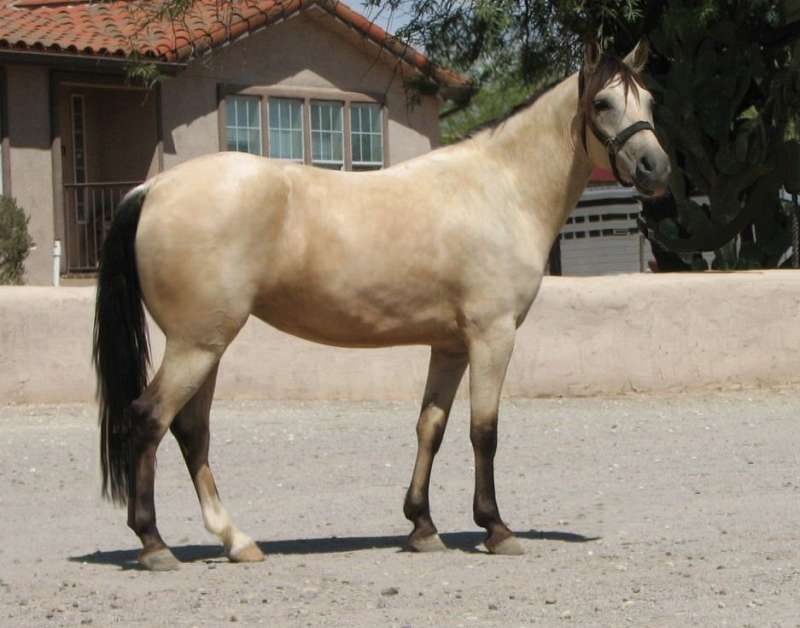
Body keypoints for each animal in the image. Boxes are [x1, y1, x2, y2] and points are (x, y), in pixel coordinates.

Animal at [93, 41, 670, 571]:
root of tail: (153, 187)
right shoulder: (493, 335)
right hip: (196, 345)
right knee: (149, 419)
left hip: (206, 346)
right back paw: (155, 545)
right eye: (602, 103)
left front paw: (422, 526)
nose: (656, 168)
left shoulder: (450, 345)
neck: (500, 190)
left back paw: (236, 541)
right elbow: (483, 431)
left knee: (191, 431)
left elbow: (430, 427)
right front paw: (496, 528)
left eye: (648, 100)